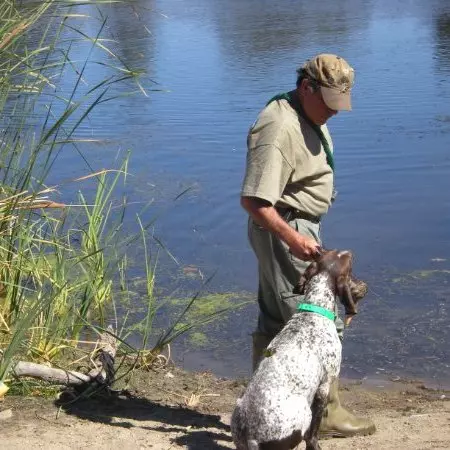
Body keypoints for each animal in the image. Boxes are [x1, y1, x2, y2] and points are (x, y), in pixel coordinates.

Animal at [230, 250, 364, 450]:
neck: (314, 310)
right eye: (348, 263)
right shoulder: (324, 385)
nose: (349, 251)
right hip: (304, 415)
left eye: (328, 252)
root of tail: (251, 436)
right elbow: (313, 434)